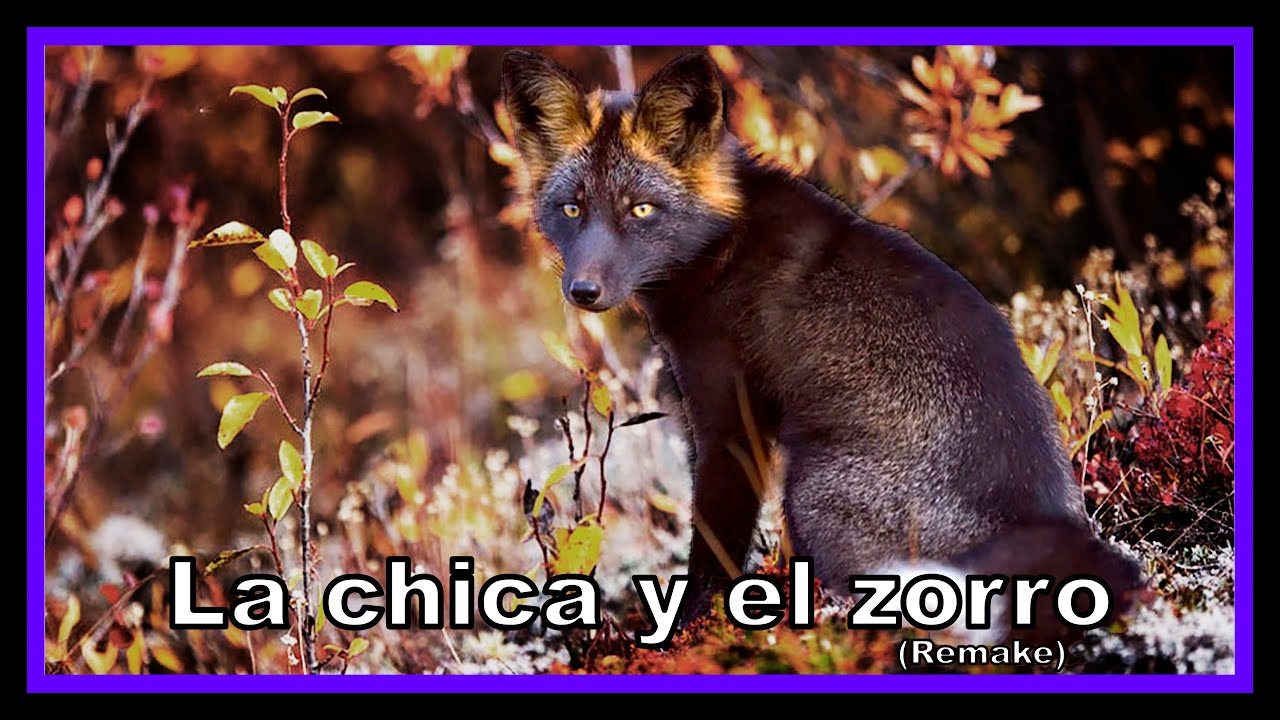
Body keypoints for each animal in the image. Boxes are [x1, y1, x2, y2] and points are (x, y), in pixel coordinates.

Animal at [501, 49, 1143, 641]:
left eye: (640, 210)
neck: (722, 248)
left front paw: (684, 630)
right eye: (571, 209)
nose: (584, 291)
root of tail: (1037, 519)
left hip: (808, 493)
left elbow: (713, 550)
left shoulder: (730, 423)